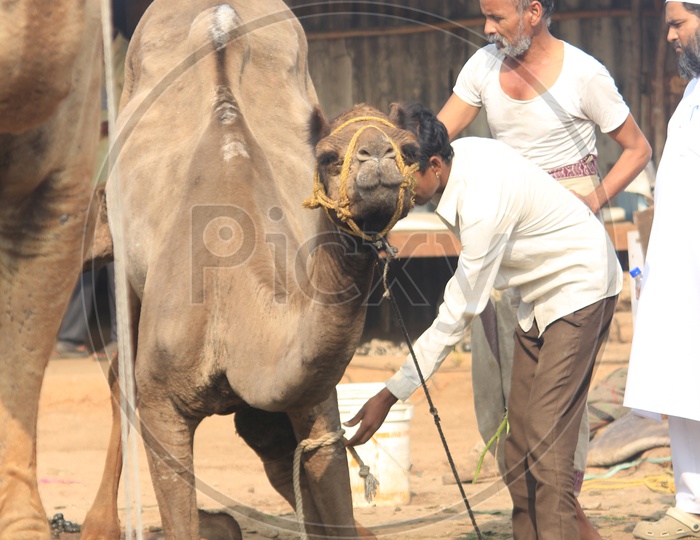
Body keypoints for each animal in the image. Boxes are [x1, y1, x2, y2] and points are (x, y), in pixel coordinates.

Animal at [80, 0, 419, 538]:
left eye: (408, 149)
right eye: (327, 156)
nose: (377, 157)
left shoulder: (313, 396)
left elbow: (324, 484)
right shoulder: (162, 405)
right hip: (126, 270)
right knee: (119, 375)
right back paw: (101, 524)